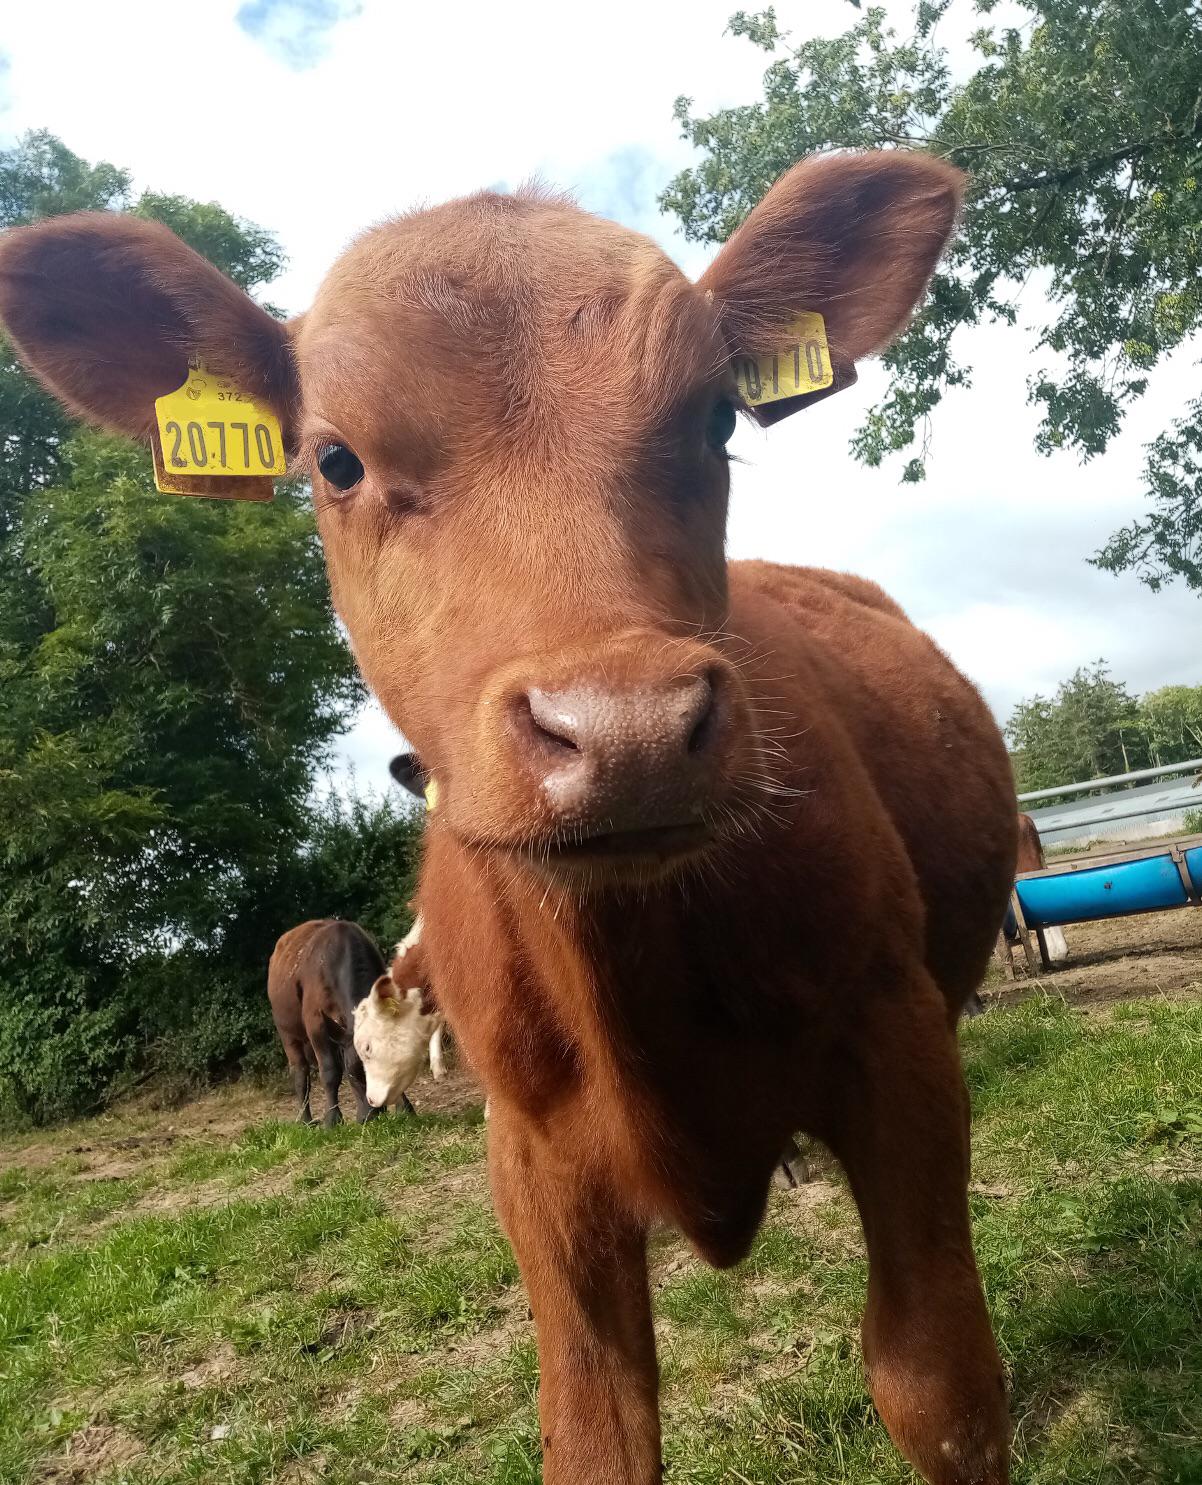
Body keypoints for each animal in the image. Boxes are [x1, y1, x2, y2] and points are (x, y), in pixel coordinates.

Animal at [266, 918, 387, 1127]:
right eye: (353, 1073)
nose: (374, 1114)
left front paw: (406, 1109)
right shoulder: (316, 1024)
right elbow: (330, 1070)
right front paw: (332, 1120)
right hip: (288, 1033)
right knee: (301, 1073)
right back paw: (305, 1121)